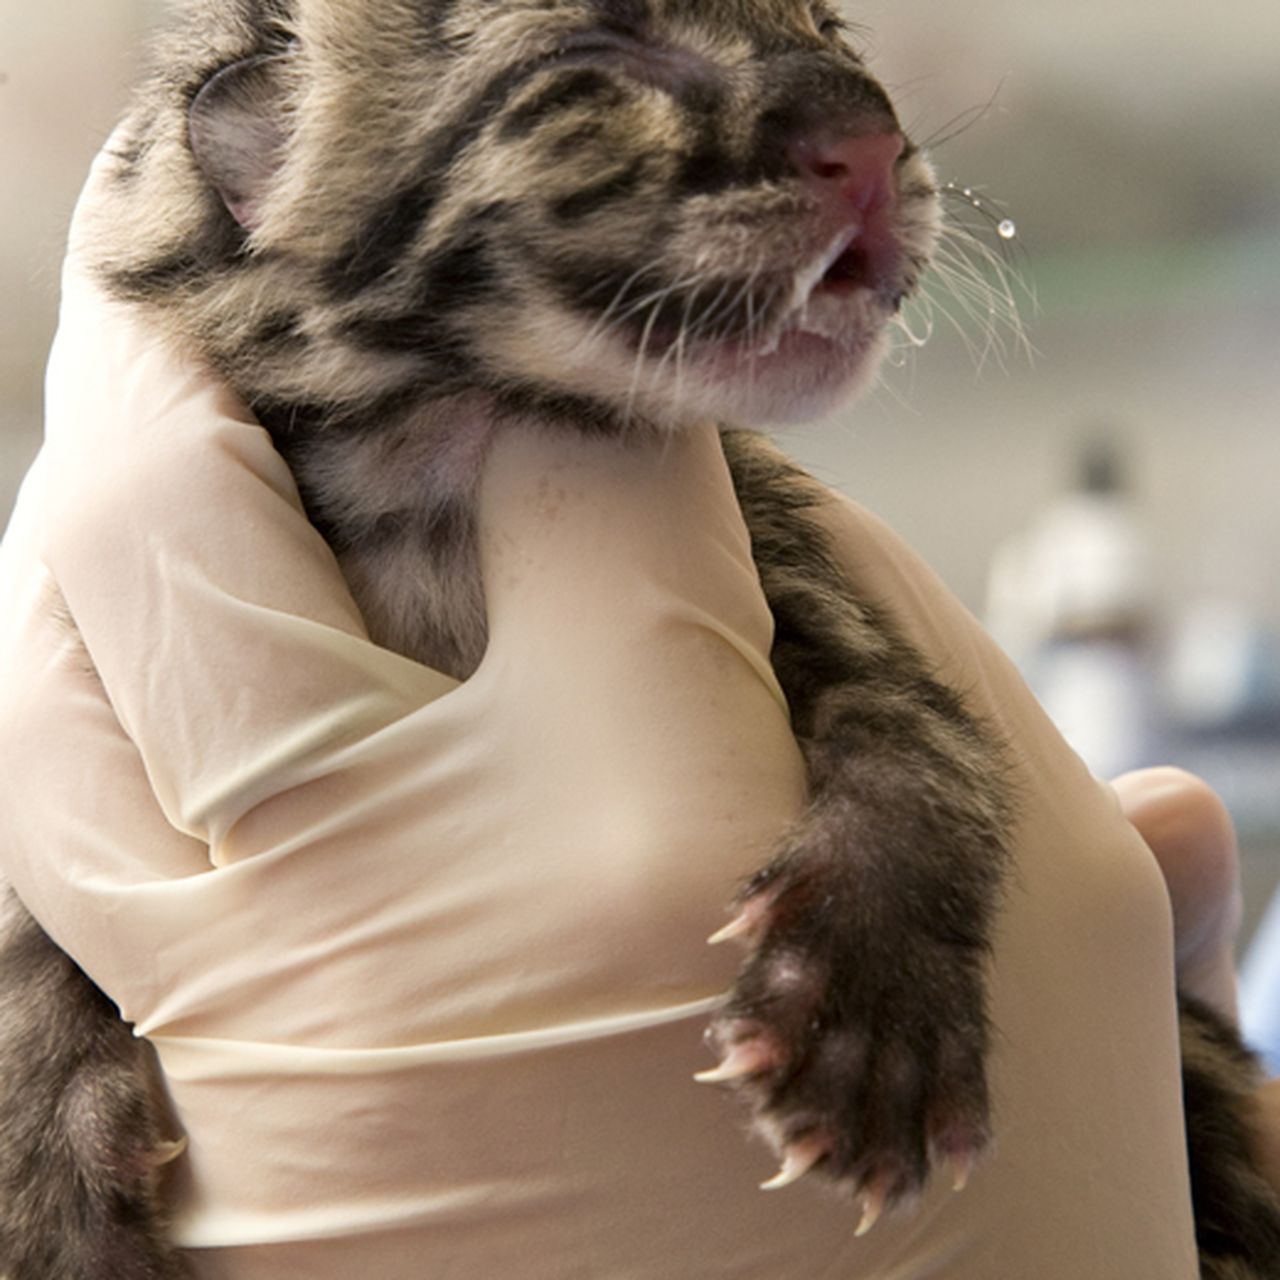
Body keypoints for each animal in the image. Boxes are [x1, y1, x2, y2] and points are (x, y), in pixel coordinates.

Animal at [1, 0, 1278, 1276]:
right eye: (594, 57)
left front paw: (866, 1024)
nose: (869, 140)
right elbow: (29, 936)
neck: (424, 466)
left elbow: (922, 746)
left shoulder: (805, 579)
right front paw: (49, 1187)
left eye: (831, 29)